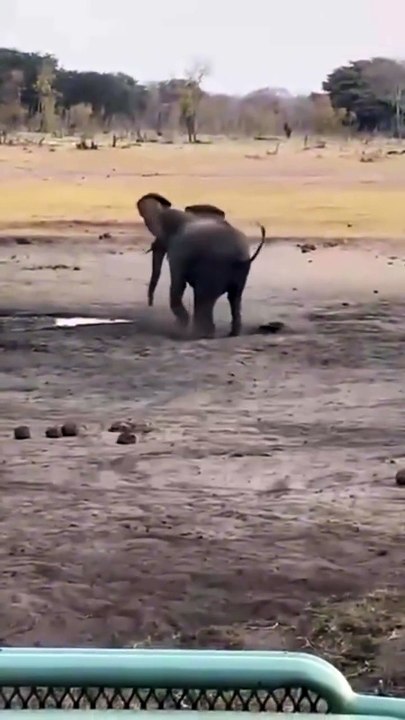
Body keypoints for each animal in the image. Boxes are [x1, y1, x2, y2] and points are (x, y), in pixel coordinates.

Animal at [137, 192, 266, 338]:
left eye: (156, 243)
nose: (150, 305)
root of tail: (240, 258)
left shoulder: (178, 255)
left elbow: (178, 285)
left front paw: (180, 326)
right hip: (240, 273)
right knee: (234, 297)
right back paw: (231, 333)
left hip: (213, 267)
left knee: (204, 298)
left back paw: (201, 333)